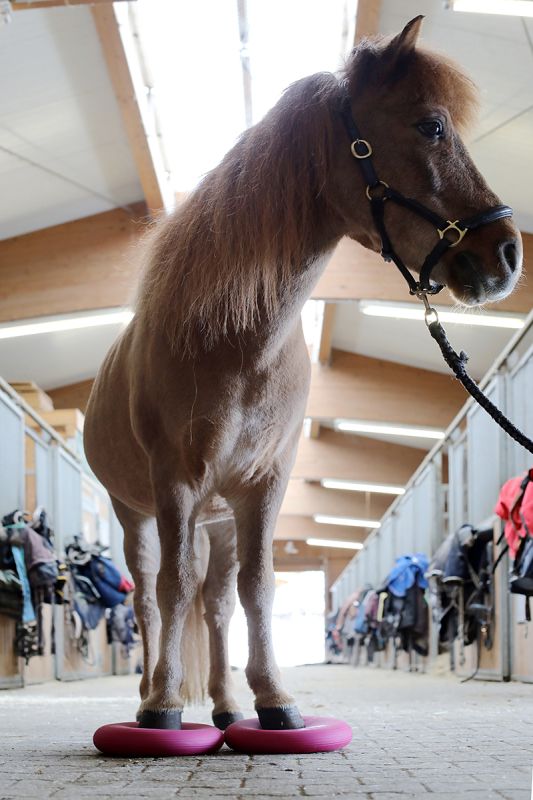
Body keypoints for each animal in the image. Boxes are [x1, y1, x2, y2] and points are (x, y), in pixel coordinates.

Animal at [83, 16, 522, 732]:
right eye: (431, 125)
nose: (507, 255)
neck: (234, 343)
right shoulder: (174, 482)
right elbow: (171, 588)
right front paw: (164, 703)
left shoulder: (262, 486)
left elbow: (255, 589)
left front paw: (272, 698)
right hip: (136, 512)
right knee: (151, 594)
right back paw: (152, 688)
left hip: (218, 519)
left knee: (215, 600)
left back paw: (226, 705)